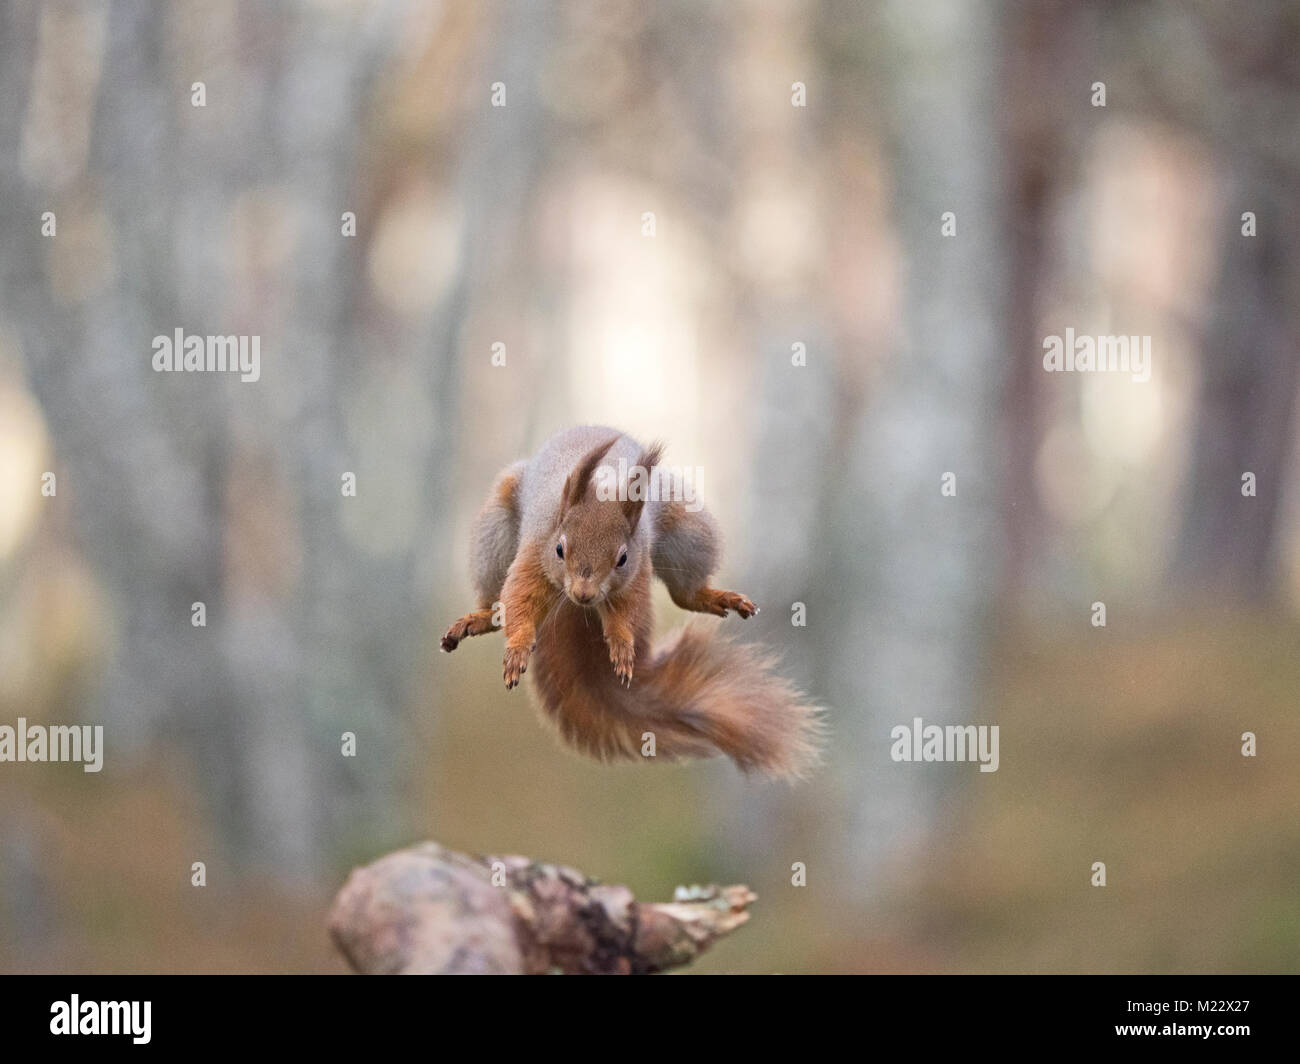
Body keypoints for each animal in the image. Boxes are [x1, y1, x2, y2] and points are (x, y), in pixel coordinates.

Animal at [441, 425, 822, 778]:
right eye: (560, 549)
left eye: (622, 558)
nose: (584, 593)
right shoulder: (534, 553)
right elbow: (519, 600)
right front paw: (518, 649)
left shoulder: (637, 571)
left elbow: (627, 611)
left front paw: (623, 646)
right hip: (496, 528)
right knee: (496, 608)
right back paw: (479, 618)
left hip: (689, 529)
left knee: (685, 595)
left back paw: (713, 596)